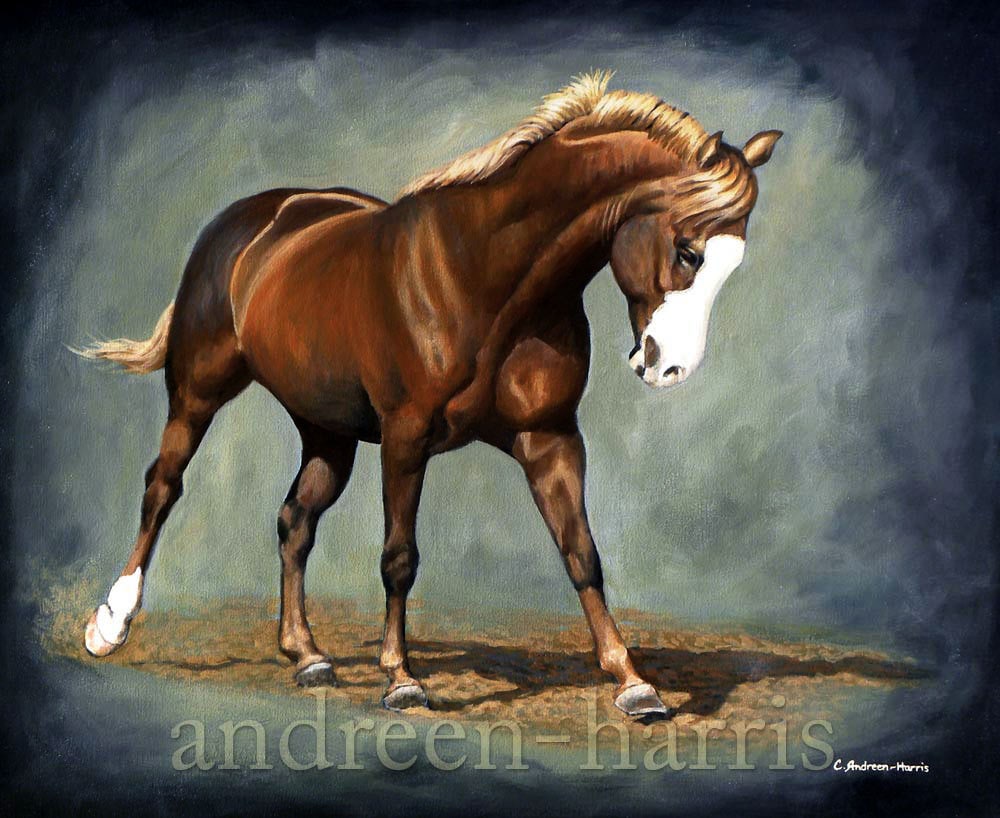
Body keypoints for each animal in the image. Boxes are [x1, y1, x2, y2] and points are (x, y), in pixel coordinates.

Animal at [77, 72, 781, 716]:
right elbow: (400, 558)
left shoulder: (550, 438)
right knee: (163, 486)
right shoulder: (405, 436)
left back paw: (306, 655)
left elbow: (581, 553)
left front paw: (633, 682)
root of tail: (253, 218)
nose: (670, 368)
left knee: (294, 521)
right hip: (198, 391)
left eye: (732, 264)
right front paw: (401, 679)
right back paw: (111, 622)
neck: (481, 276)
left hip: (327, 432)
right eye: (687, 250)